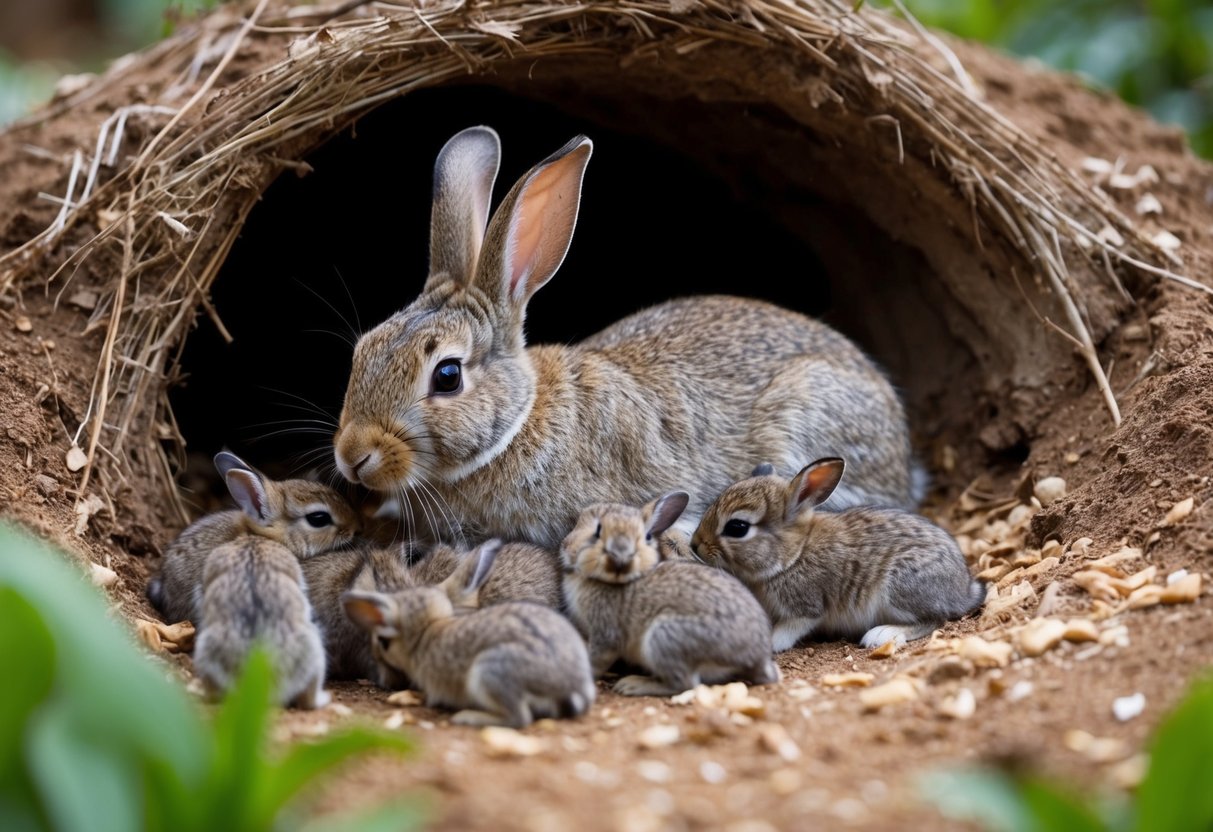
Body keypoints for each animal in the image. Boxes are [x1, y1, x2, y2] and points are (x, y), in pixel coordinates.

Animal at [560, 491, 780, 696]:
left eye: (596, 531)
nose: (565, 545)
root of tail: (756, 659)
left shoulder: (605, 633)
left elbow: (596, 659)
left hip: (662, 638)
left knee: (685, 683)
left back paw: (632, 685)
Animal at [691, 458, 987, 652]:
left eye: (737, 527)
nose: (695, 545)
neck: (791, 556)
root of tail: (963, 590)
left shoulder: (806, 606)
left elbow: (790, 628)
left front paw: (770, 643)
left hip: (902, 587)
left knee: (934, 620)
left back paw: (882, 634)